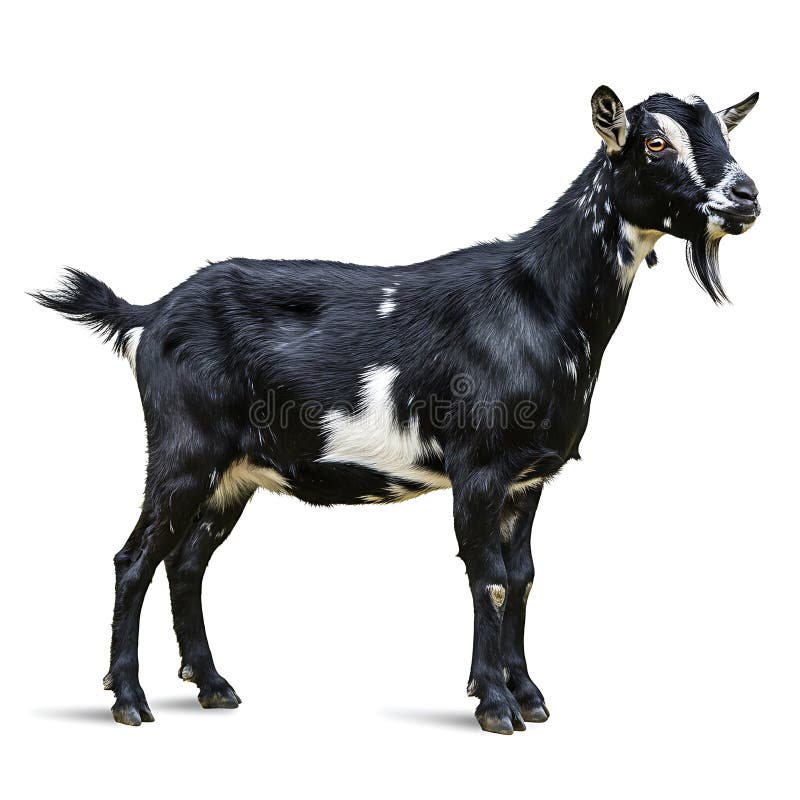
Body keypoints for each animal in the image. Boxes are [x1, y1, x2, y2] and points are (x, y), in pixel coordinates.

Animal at [35, 87, 760, 733]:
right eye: (656, 143)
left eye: (726, 134)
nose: (747, 195)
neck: (540, 300)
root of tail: (152, 313)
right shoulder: (478, 468)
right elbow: (491, 580)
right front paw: (495, 705)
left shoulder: (529, 478)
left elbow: (523, 578)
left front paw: (527, 696)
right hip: (185, 451)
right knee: (134, 560)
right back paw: (130, 701)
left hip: (235, 473)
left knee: (186, 563)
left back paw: (212, 685)